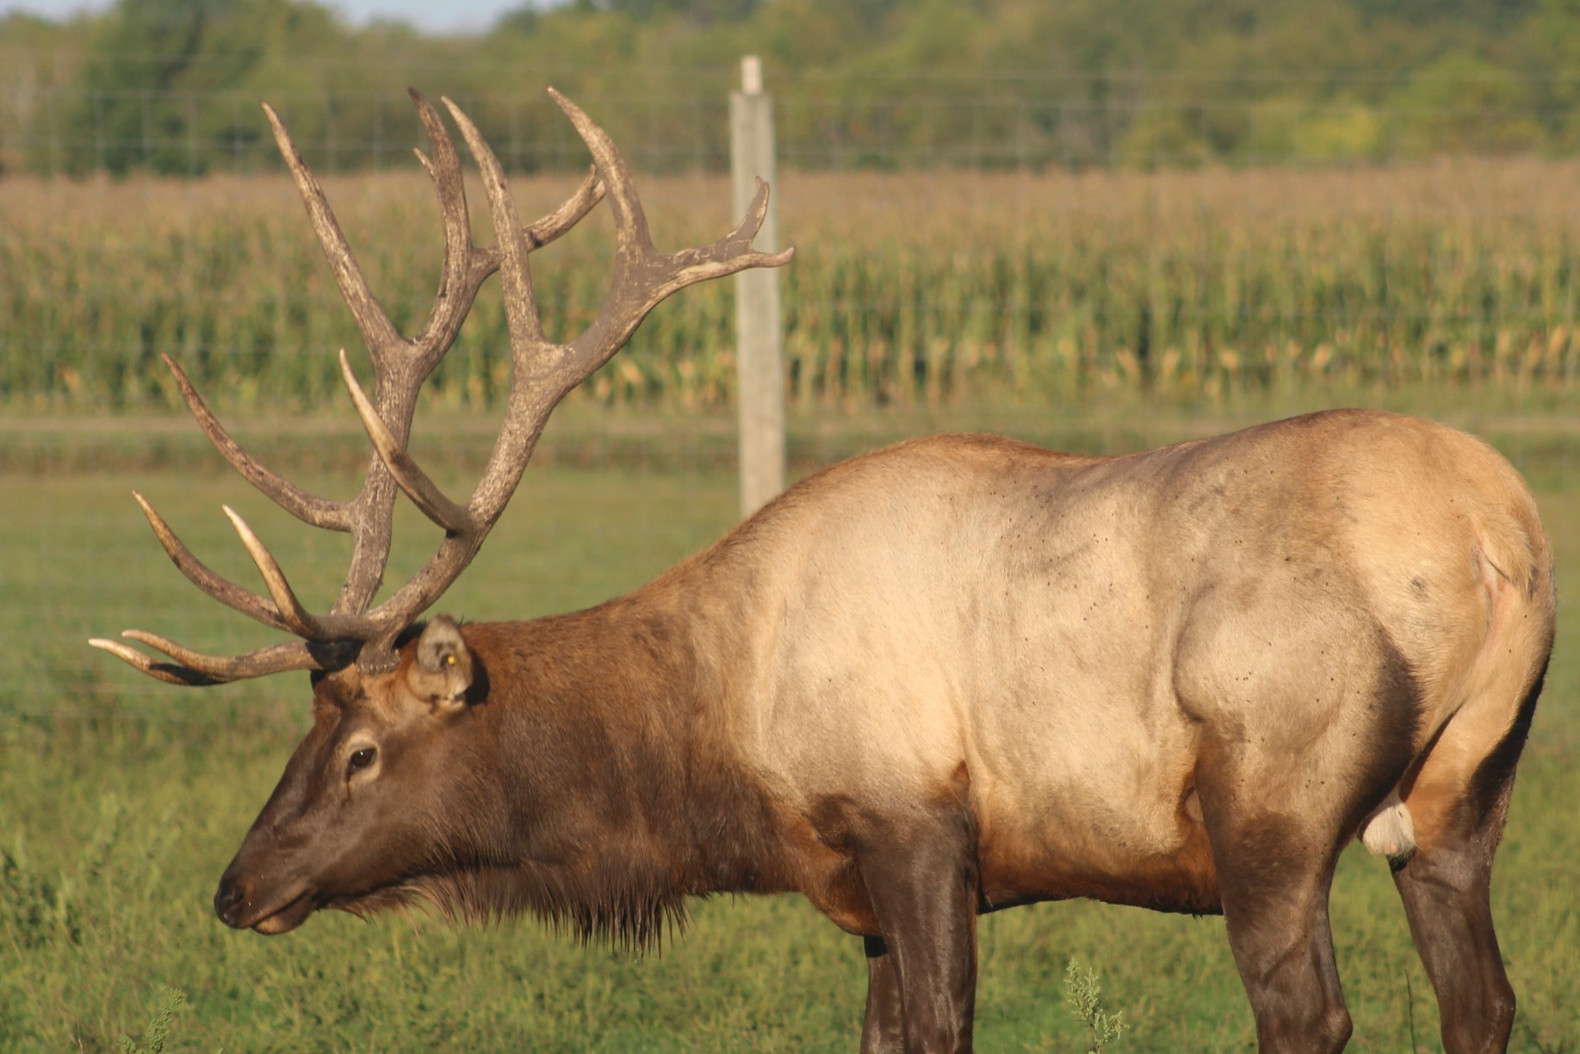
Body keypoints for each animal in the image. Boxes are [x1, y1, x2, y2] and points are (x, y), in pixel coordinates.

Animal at [92, 88, 1555, 1054]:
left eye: (359, 751)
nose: (237, 887)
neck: (721, 750)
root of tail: (1499, 540)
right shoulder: (861, 881)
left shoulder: (914, 819)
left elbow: (941, 1026)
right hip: (1465, 791)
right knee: (1481, 999)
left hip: (1272, 797)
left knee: (1307, 1012)